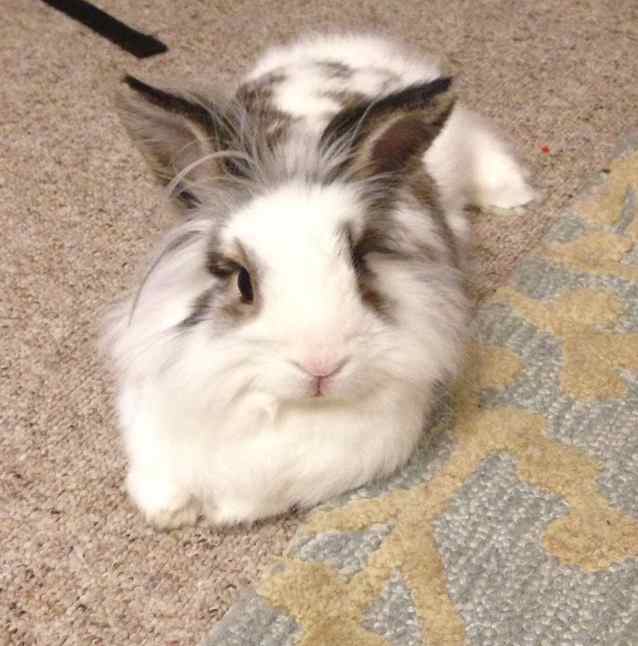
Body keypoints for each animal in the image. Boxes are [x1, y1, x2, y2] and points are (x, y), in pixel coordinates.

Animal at [103, 33, 535, 529]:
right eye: (243, 282)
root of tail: (347, 45)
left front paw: (221, 509)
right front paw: (169, 511)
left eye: (359, 262)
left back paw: (513, 195)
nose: (321, 367)